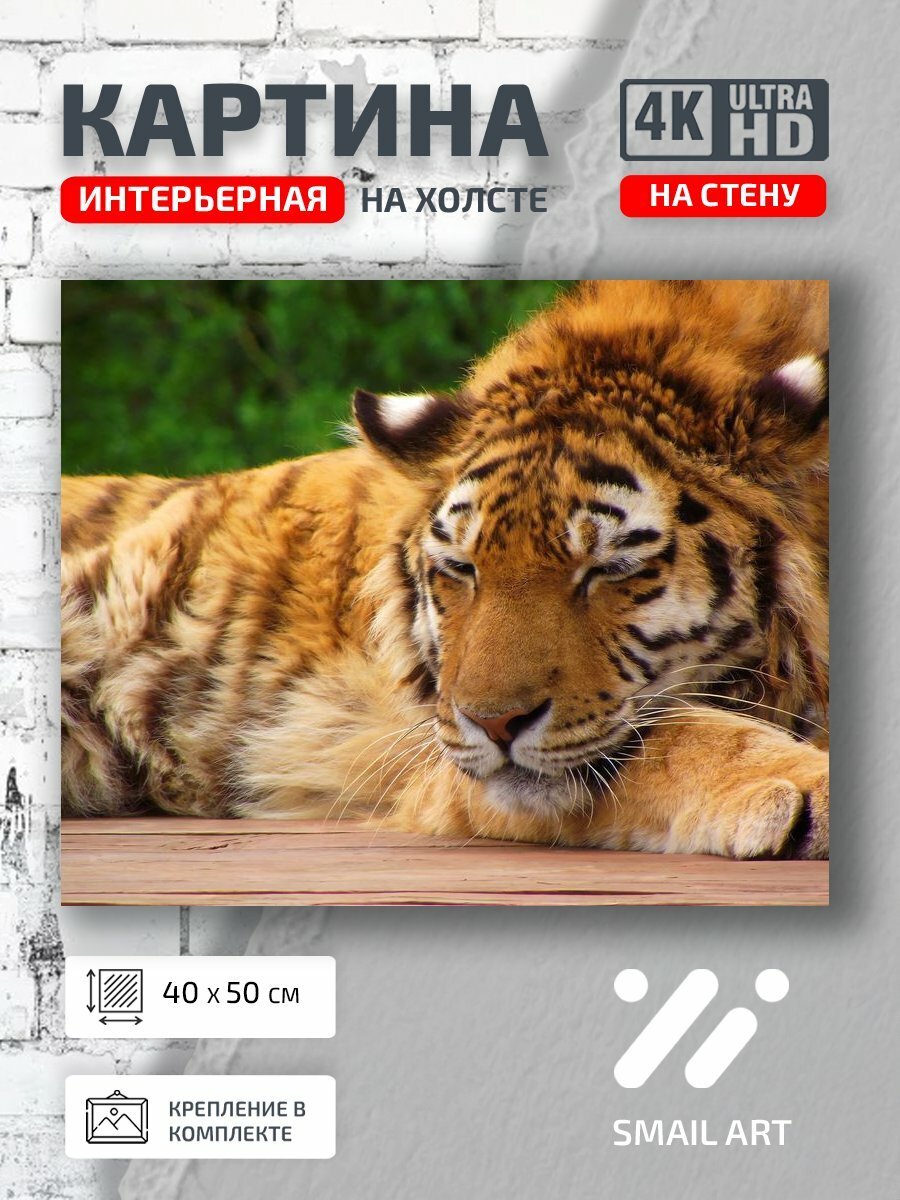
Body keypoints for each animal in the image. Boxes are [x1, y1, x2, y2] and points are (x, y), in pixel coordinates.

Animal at [62, 279, 829, 859]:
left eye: (607, 568)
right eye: (462, 568)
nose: (494, 725)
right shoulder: (436, 755)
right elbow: (677, 734)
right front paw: (805, 788)